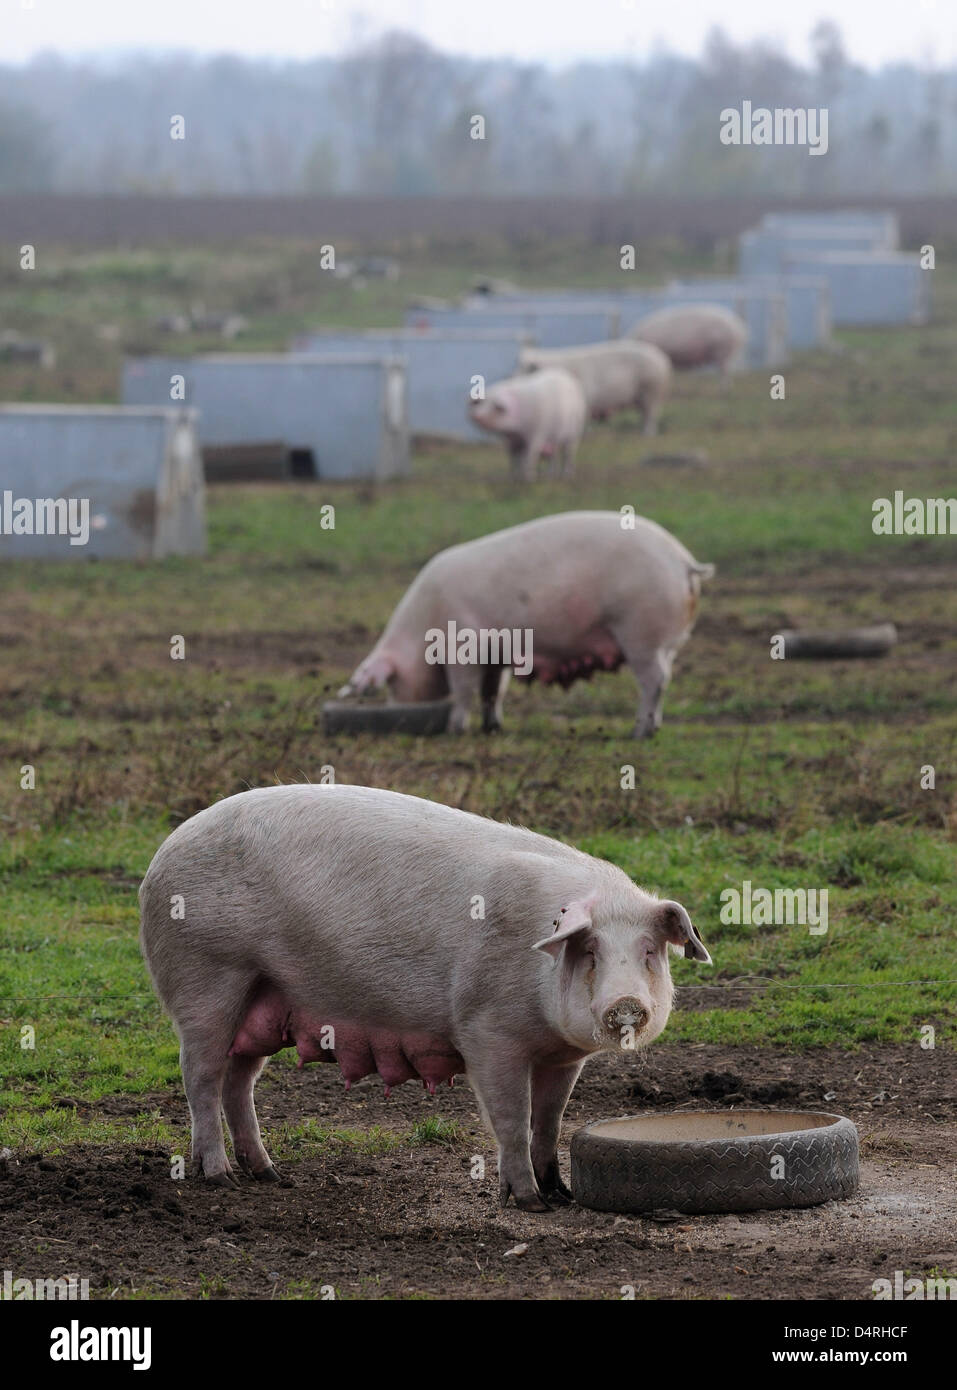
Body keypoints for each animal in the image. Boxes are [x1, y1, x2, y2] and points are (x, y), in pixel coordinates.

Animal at [139, 783, 712, 1210]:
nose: (626, 1004)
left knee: (239, 1082)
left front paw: (561, 1194)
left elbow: (548, 1121)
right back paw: (219, 1177)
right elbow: (511, 1118)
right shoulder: (486, 1032)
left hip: (264, 996)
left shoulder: (563, 1055)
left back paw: (269, 1174)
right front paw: (529, 1203)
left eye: (649, 951)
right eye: (590, 950)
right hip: (208, 976)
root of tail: (160, 855)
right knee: (201, 1075)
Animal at [339, 510, 714, 737]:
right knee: (665, 677)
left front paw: (456, 728)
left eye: (392, 682)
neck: (422, 627)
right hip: (665, 642)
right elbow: (493, 691)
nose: (396, 715)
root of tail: (684, 561)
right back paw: (652, 729)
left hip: (640, 633)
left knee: (654, 681)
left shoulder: (463, 646)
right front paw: (492, 728)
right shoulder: (495, 653)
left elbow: (464, 690)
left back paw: (639, 732)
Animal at [518, 340, 672, 436]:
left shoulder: (587, 398)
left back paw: (646, 434)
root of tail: (663, 361)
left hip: (651, 390)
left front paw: (585, 433)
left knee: (651, 414)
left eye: (525, 370)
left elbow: (585, 419)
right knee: (645, 414)